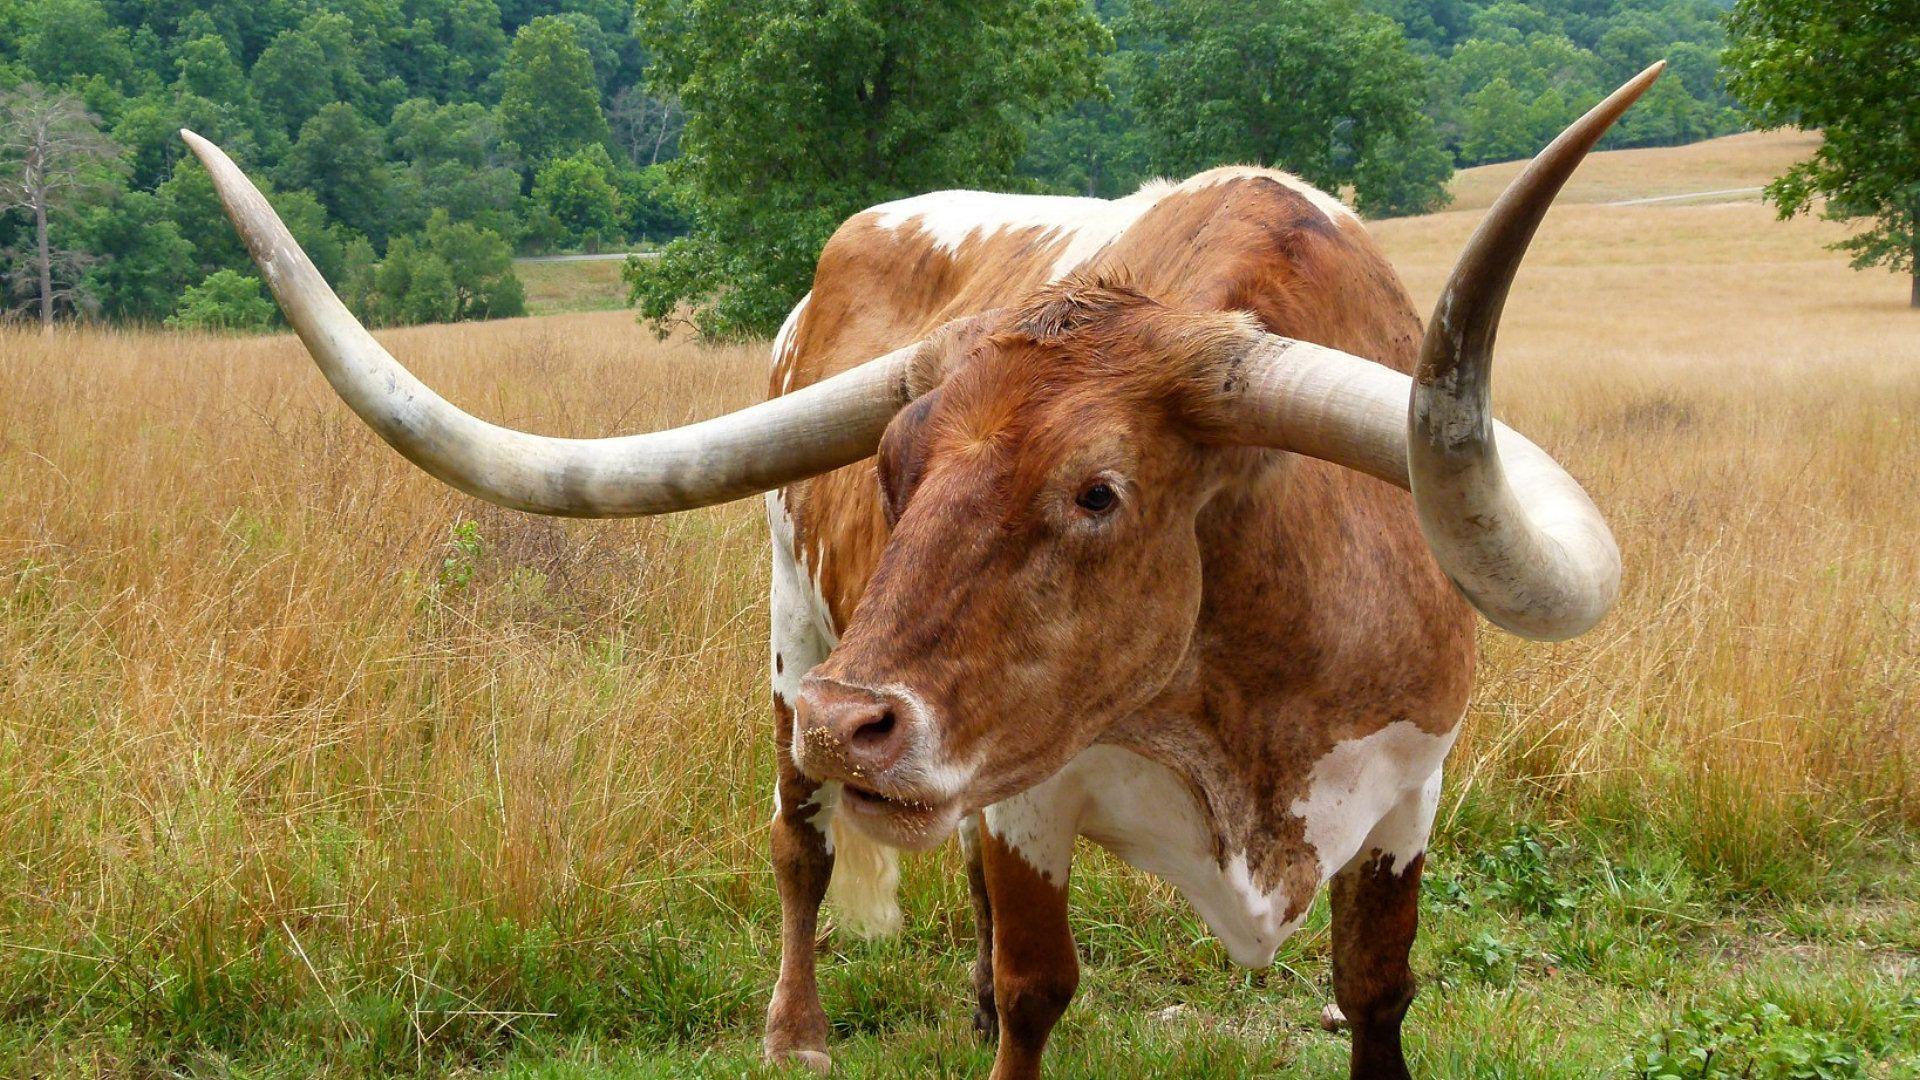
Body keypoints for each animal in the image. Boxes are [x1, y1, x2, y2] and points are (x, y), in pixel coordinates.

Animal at [183, 63, 1659, 1080]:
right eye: (891, 470)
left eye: (1099, 493)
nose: (853, 723)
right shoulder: (1034, 796)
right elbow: (1039, 987)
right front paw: (979, 1007)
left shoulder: (1410, 791)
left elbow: (1375, 989)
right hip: (791, 629)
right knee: (800, 848)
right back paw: (798, 1028)